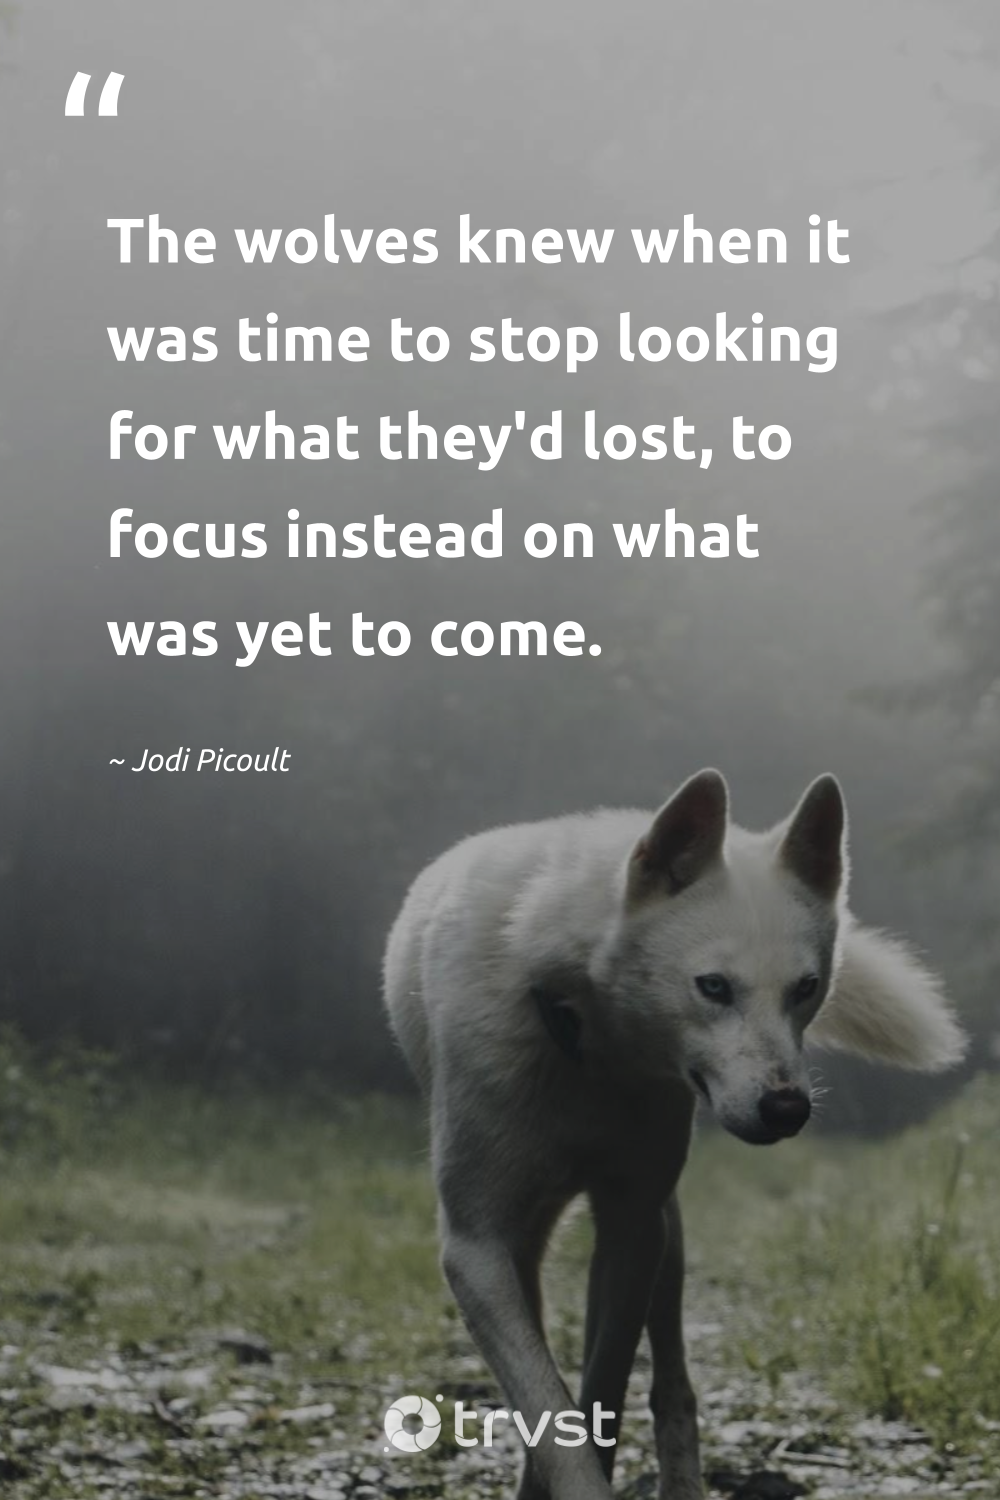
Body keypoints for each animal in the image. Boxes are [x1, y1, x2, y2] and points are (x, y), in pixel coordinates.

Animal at [383, 771, 965, 1500]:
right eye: (712, 987)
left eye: (804, 989)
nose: (787, 1109)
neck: (587, 1045)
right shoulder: (476, 1248)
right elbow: (550, 1409)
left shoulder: (633, 1227)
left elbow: (600, 1396)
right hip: (535, 1245)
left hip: (664, 1236)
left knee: (672, 1381)